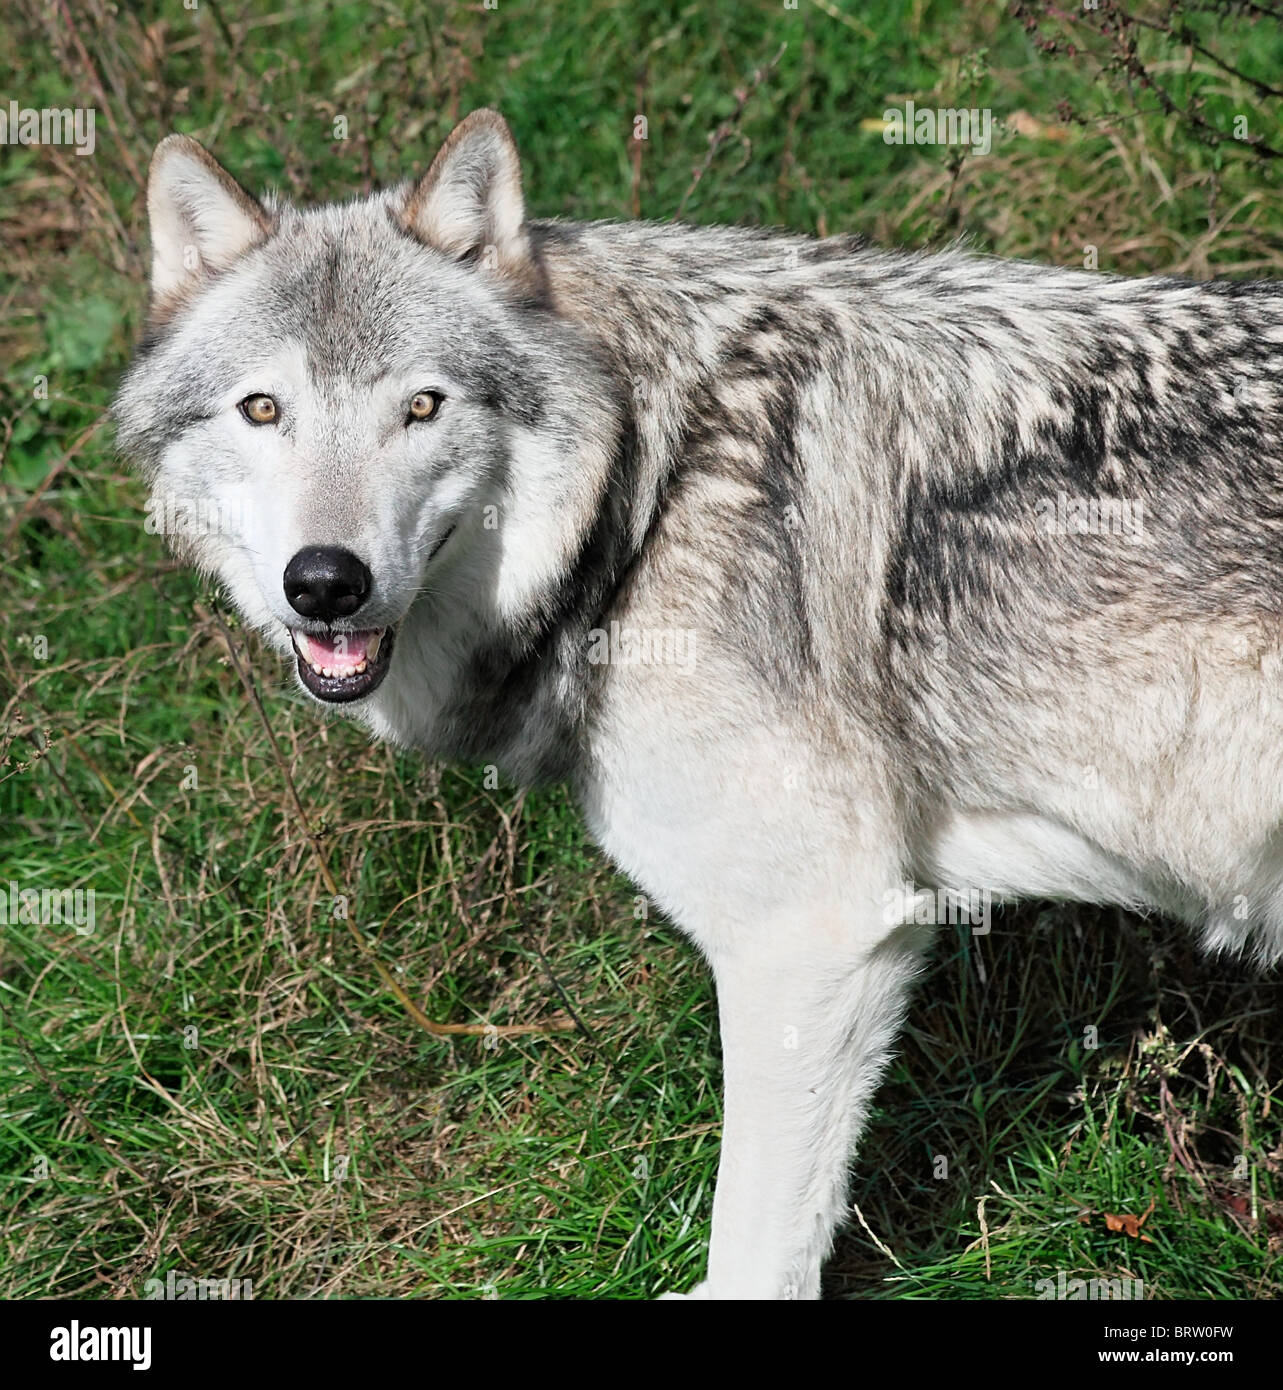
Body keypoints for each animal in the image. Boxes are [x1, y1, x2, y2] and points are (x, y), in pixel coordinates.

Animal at [114, 109, 1283, 1300]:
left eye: (421, 406)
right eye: (264, 409)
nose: (325, 582)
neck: (643, 491)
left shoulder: (813, 937)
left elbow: (751, 1252)